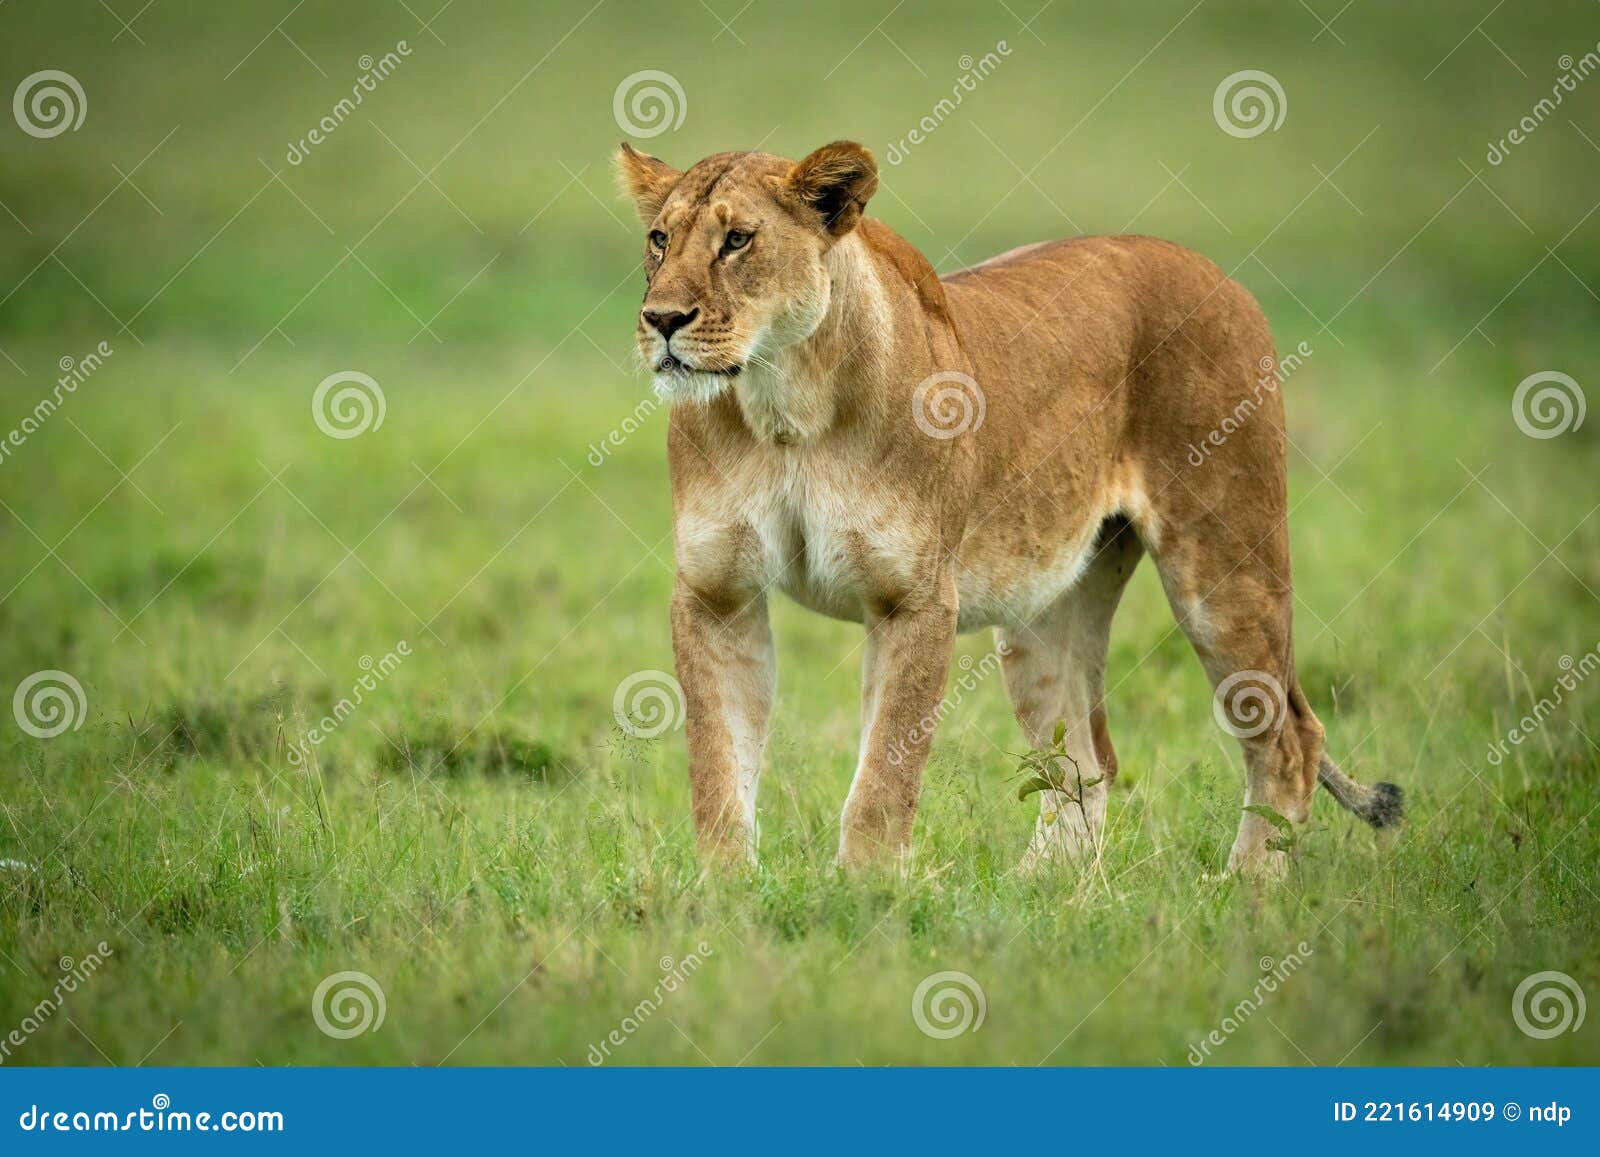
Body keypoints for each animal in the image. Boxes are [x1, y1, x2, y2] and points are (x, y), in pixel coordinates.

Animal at [616, 138, 1402, 875]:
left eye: (737, 240)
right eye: (659, 238)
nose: (661, 320)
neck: (784, 406)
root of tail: (1220, 274)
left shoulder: (914, 600)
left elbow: (885, 774)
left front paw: (865, 890)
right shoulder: (717, 594)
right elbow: (719, 766)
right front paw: (726, 890)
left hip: (1224, 565)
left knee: (1289, 738)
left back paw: (1245, 885)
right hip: (1045, 609)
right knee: (1087, 760)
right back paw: (1036, 892)